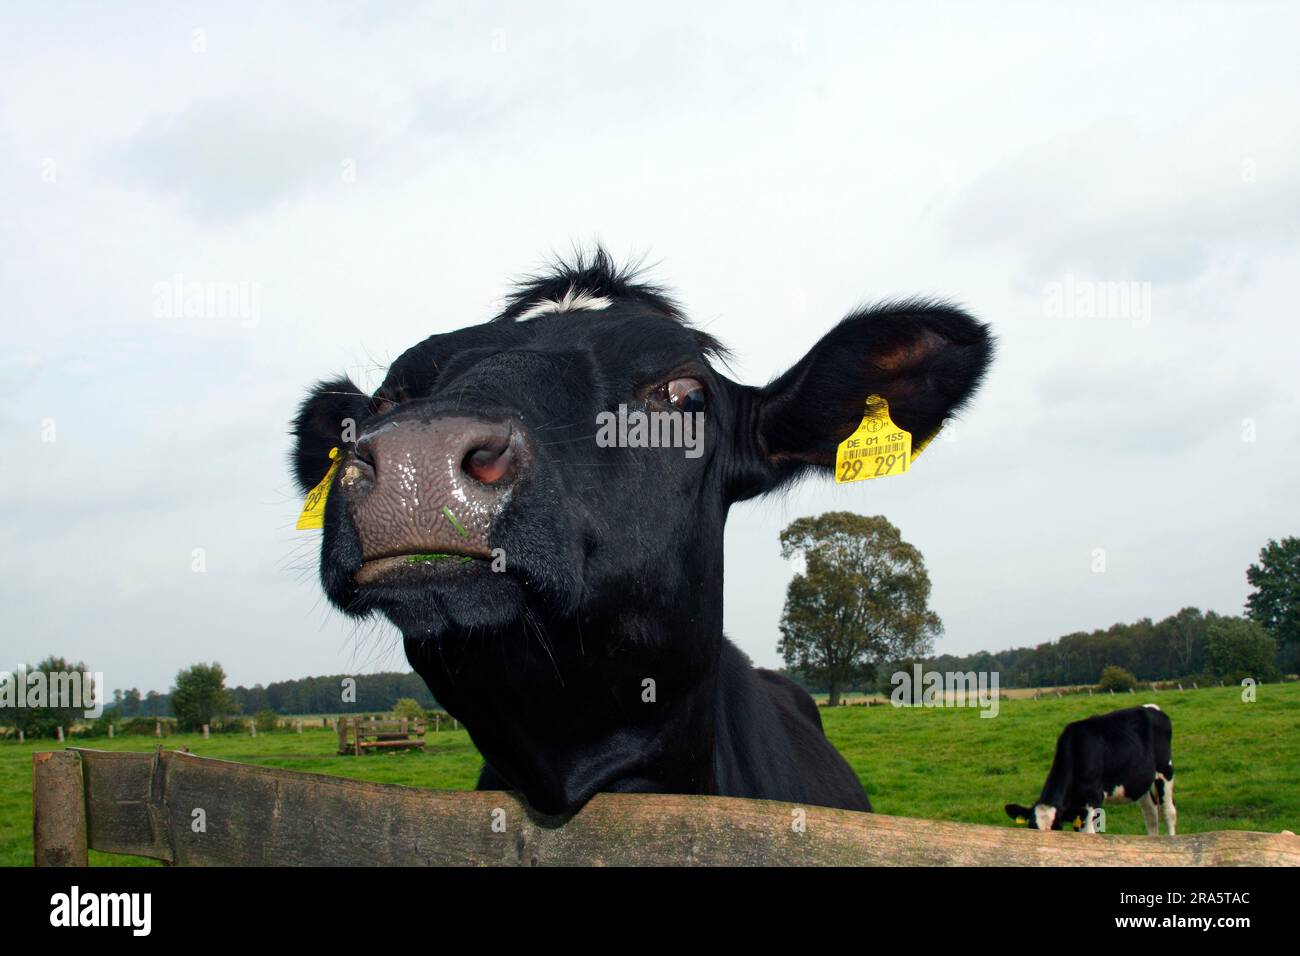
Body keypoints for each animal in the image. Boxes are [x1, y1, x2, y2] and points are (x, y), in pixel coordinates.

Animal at [1005, 704, 1176, 835]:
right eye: (1031, 827)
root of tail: (1153, 708)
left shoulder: (1094, 798)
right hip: (1139, 781)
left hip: (1165, 770)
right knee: (1151, 813)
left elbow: (1089, 833)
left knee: (1168, 812)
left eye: (1057, 827)